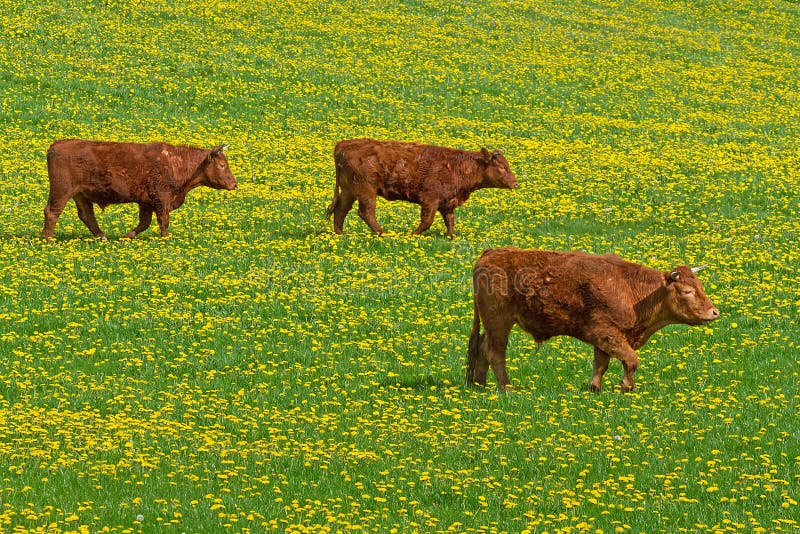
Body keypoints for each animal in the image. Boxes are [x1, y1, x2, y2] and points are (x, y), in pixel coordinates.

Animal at [43, 139, 237, 240]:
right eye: (222, 164)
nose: (234, 184)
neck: (176, 162)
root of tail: (56, 144)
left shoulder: (146, 202)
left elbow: (144, 223)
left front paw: (127, 236)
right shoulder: (161, 199)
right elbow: (163, 221)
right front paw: (165, 239)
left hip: (80, 195)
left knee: (87, 215)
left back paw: (102, 237)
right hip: (62, 191)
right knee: (52, 212)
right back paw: (48, 240)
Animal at [325, 138, 517, 238]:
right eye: (501, 167)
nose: (515, 183)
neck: (457, 166)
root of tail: (343, 145)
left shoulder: (447, 203)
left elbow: (450, 221)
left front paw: (453, 237)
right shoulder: (430, 200)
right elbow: (427, 221)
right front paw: (413, 234)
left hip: (349, 190)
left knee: (341, 209)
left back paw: (340, 234)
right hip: (366, 190)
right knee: (365, 212)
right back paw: (382, 232)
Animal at [466, 248, 720, 392]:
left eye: (700, 286)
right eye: (687, 291)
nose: (714, 312)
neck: (631, 290)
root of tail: (489, 253)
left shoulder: (604, 339)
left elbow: (601, 364)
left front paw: (594, 388)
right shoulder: (605, 332)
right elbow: (631, 360)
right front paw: (625, 386)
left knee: (482, 348)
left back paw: (479, 385)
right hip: (499, 323)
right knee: (496, 353)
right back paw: (506, 388)